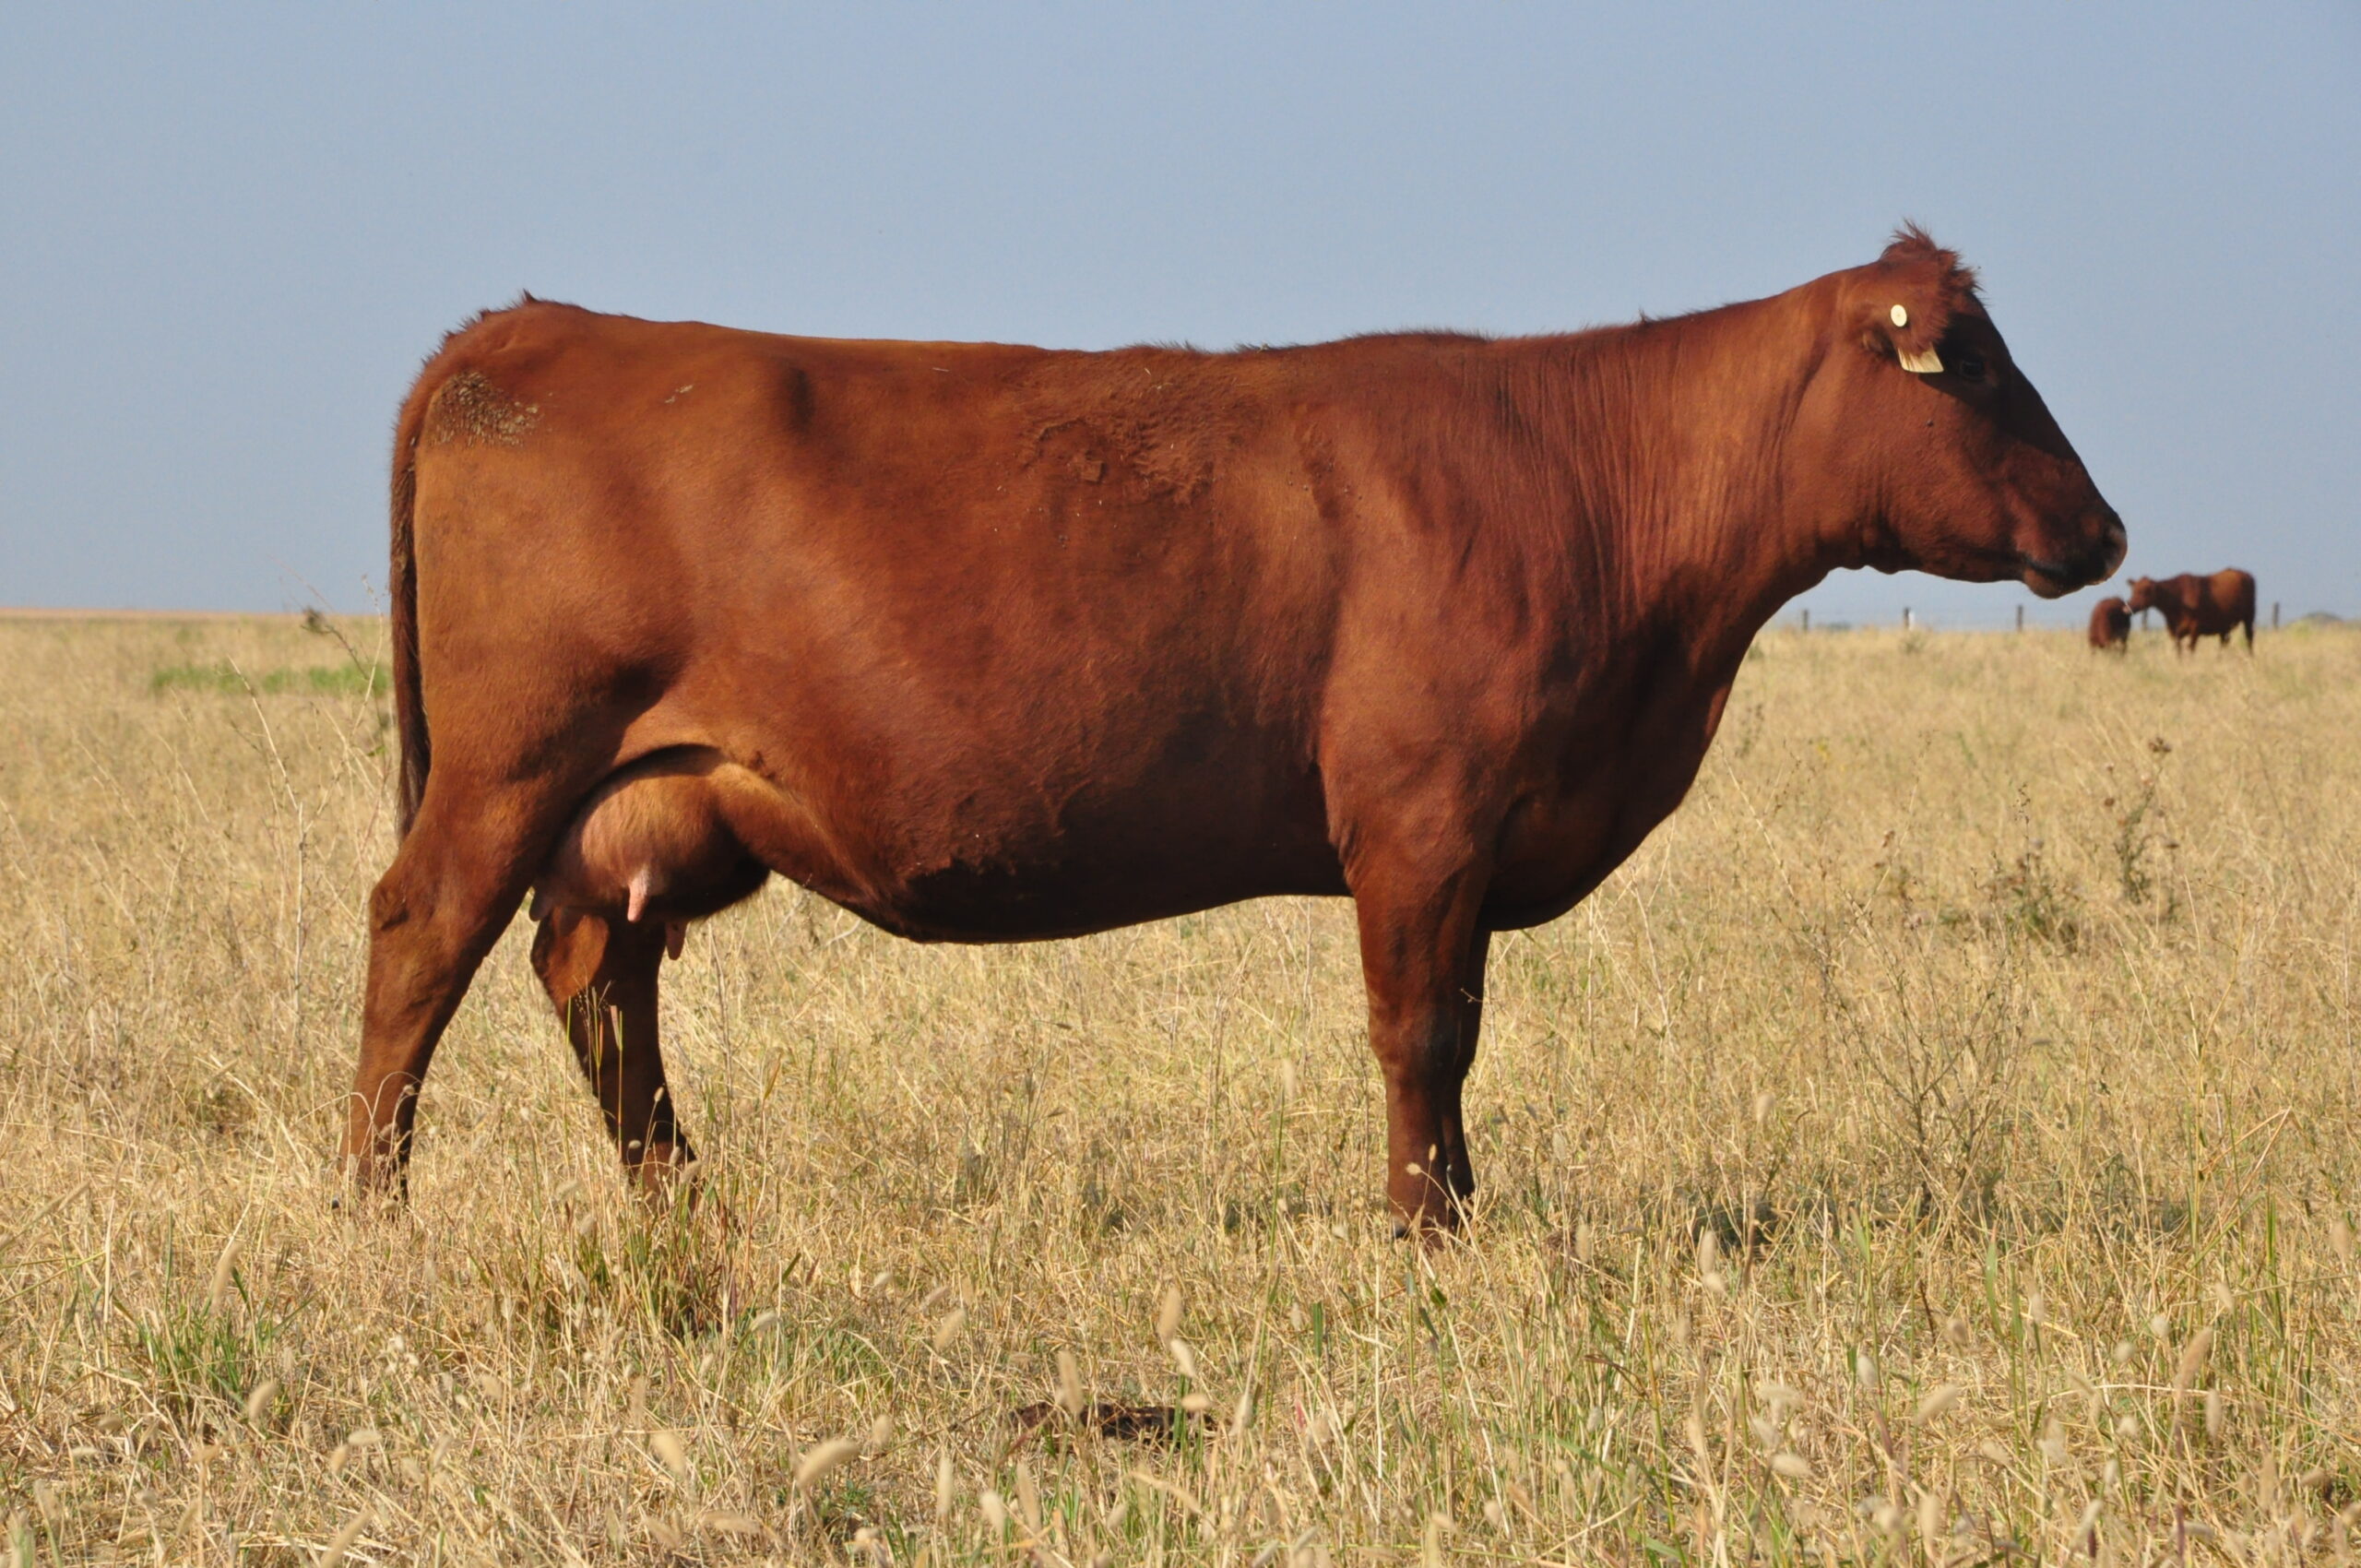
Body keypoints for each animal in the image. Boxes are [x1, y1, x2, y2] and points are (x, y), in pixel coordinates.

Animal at [345, 228, 2124, 1234]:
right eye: (1970, 367)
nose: (2105, 532)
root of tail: (528, 328)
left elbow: (1456, 1033)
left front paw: (1456, 1213)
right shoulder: (1422, 817)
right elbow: (1421, 1035)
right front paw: (1426, 1236)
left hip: (634, 803)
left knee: (597, 982)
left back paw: (679, 1206)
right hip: (510, 768)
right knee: (420, 940)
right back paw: (378, 1210)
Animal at [2127, 570, 2255, 653]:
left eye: (2144, 591)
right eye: (2133, 590)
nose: (2126, 608)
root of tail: (2245, 574)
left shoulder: (2195, 628)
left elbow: (2190, 648)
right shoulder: (2174, 632)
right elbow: (2178, 650)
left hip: (2249, 617)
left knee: (2249, 639)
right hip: (2224, 625)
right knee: (2224, 642)